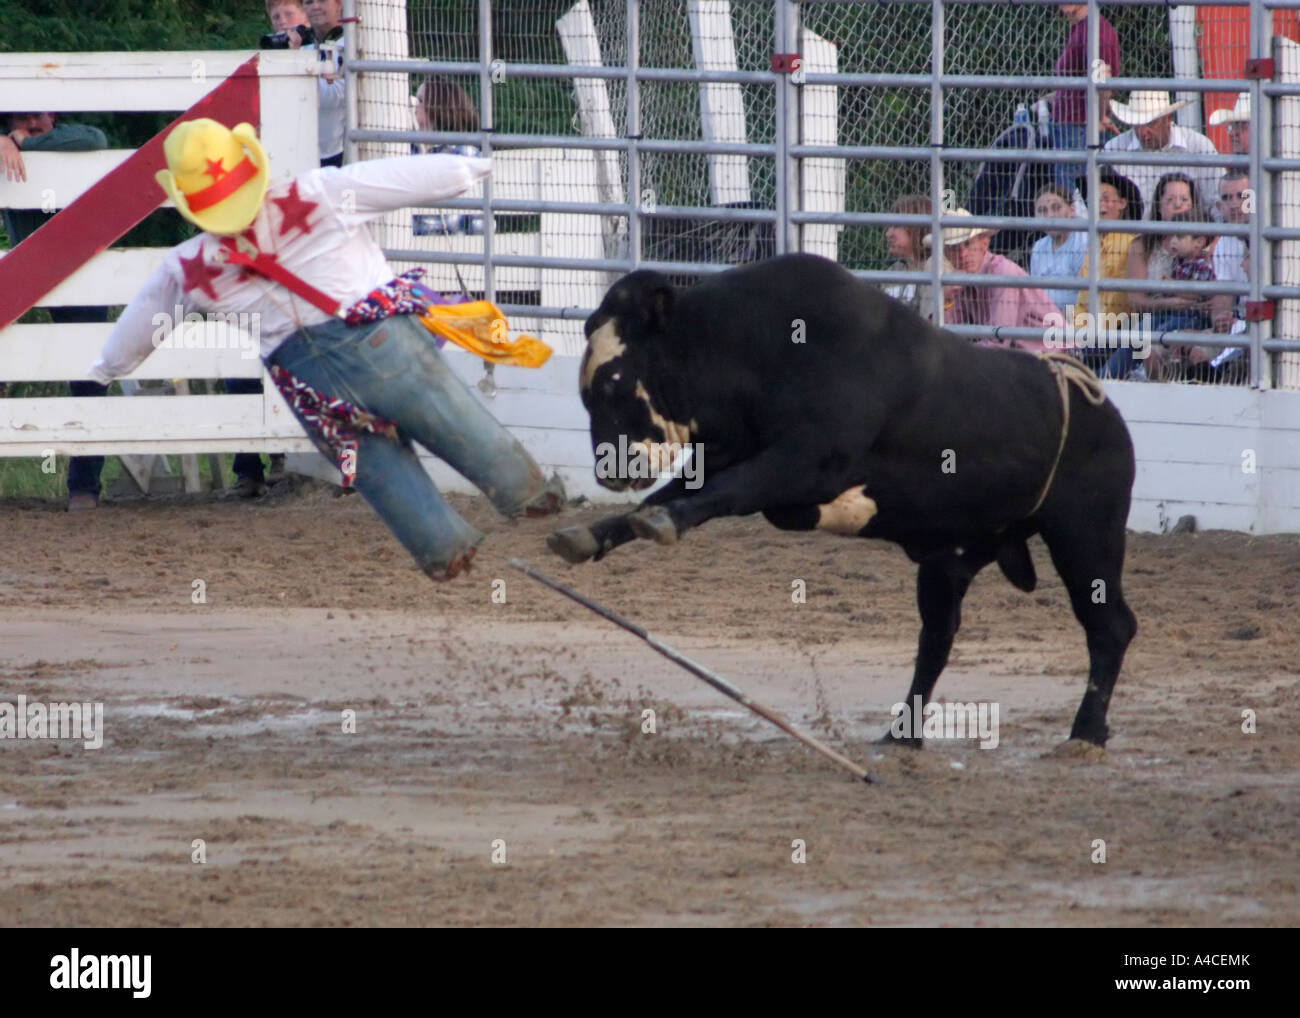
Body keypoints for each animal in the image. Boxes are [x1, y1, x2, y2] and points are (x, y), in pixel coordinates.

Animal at [548, 253, 1138, 749]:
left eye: (615, 381)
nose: (608, 468)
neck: (758, 349)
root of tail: (1100, 405)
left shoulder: (806, 459)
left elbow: (728, 493)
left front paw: (663, 521)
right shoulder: (730, 454)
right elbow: (673, 496)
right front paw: (588, 534)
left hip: (1086, 538)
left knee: (1110, 627)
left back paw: (1086, 732)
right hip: (953, 558)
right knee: (938, 637)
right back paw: (903, 735)